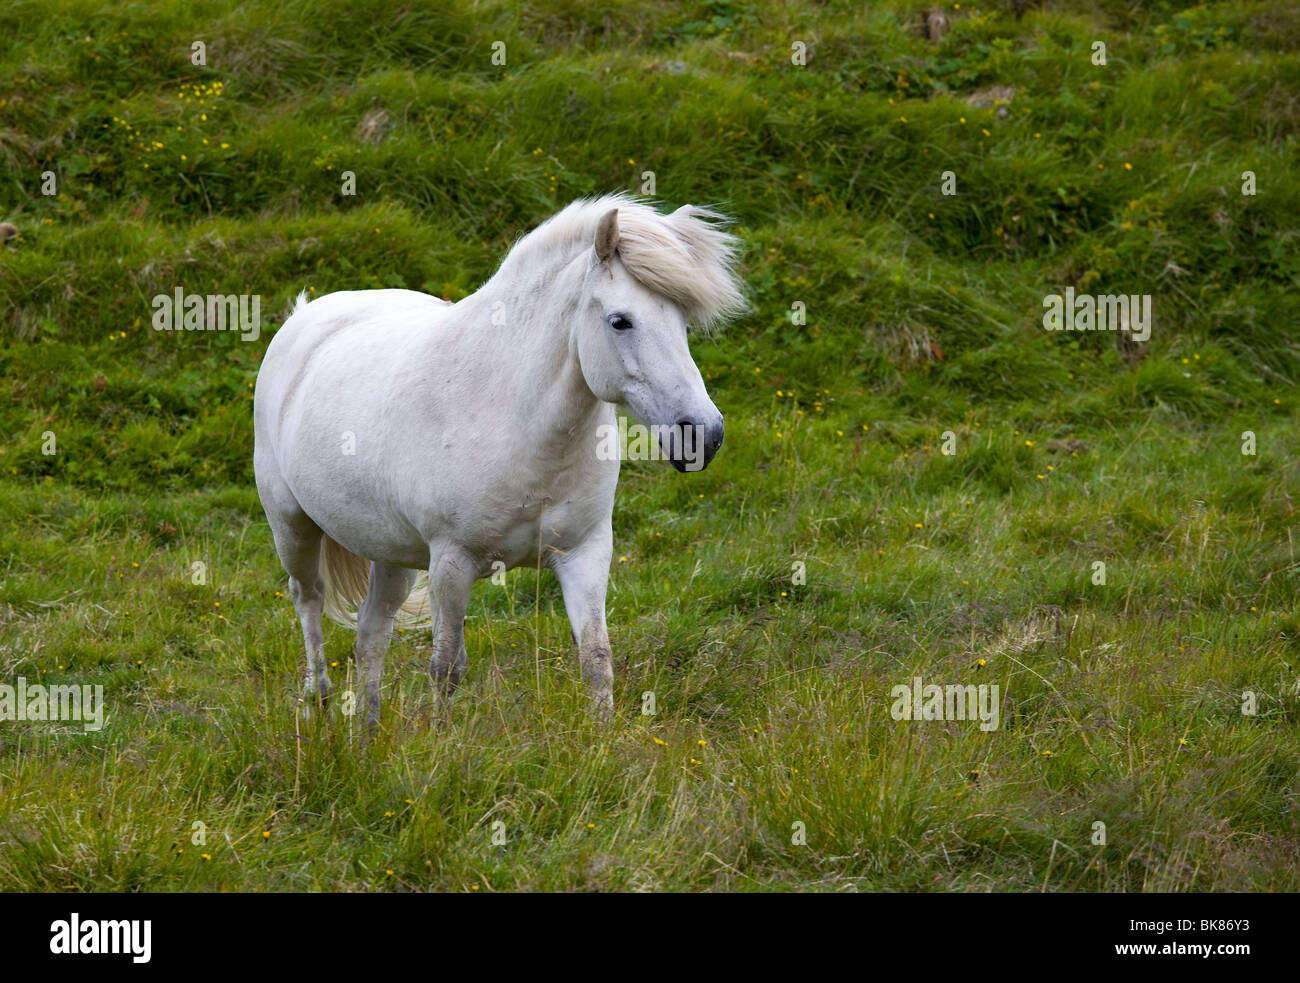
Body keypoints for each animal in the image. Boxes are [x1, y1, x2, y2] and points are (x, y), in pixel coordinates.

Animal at [253, 194, 746, 728]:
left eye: (681, 322)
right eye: (620, 321)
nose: (704, 435)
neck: (511, 416)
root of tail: (303, 316)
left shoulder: (585, 553)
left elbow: (597, 659)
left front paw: (602, 740)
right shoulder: (452, 562)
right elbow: (447, 666)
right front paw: (440, 743)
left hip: (393, 554)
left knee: (371, 634)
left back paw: (369, 731)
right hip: (293, 528)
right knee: (309, 600)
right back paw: (318, 701)